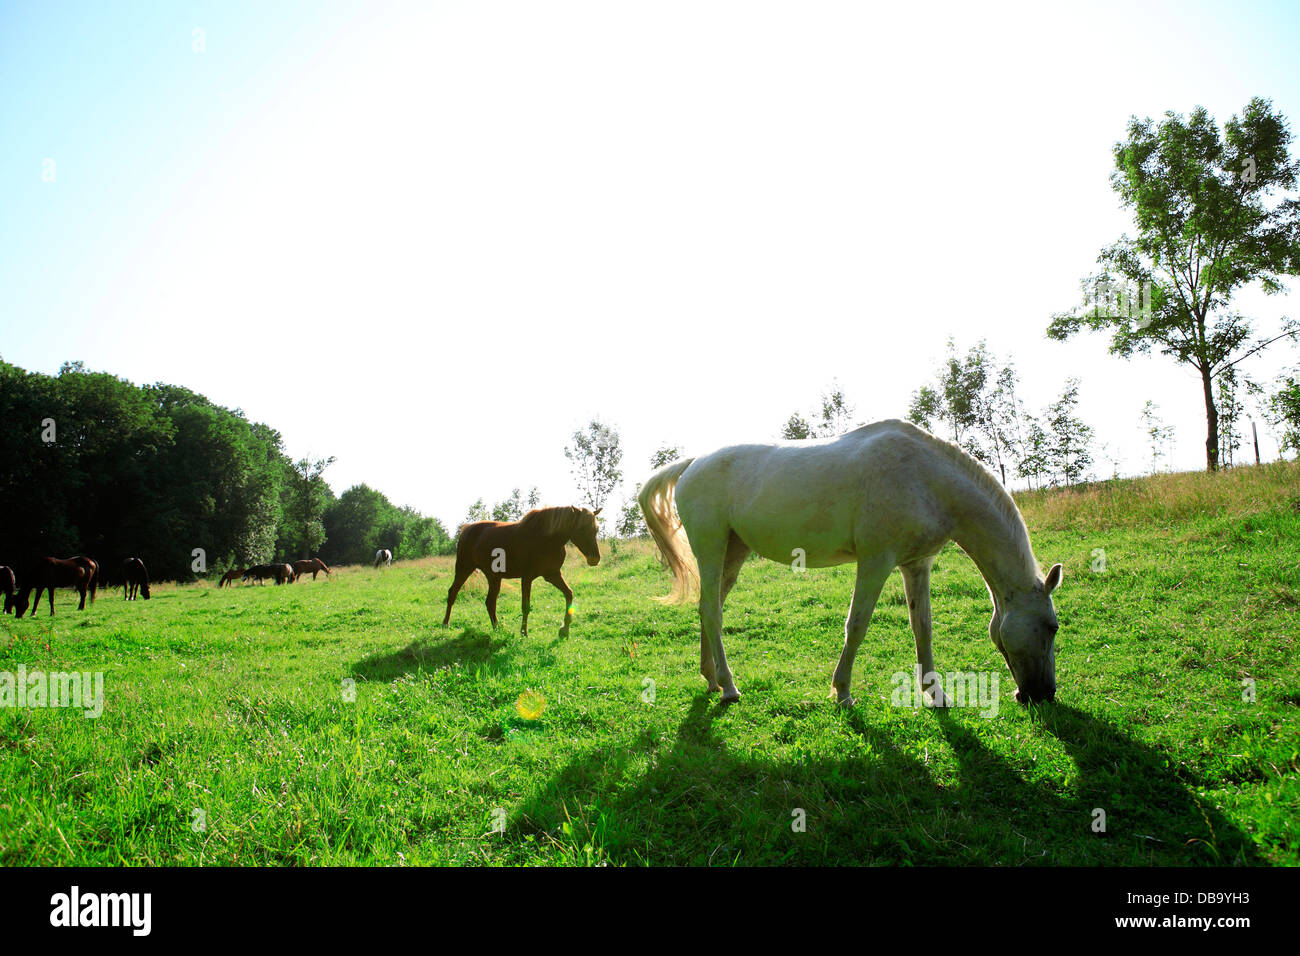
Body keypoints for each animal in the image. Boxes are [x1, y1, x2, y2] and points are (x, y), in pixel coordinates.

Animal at [443, 506, 601, 637]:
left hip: (493, 576)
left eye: (596, 529)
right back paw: (445, 623)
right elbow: (526, 606)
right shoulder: (527, 577)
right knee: (453, 593)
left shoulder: (552, 574)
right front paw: (524, 632)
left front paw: (564, 629)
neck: (547, 539)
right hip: (464, 568)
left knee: (490, 602)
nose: (595, 559)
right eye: (581, 529)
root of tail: (466, 529)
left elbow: (569, 594)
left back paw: (497, 628)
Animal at [639, 420, 1063, 707]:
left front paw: (935, 693)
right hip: (711, 549)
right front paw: (842, 692)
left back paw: (711, 679)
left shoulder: (916, 564)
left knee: (706, 609)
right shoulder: (876, 561)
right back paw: (729, 687)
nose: (1041, 694)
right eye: (1052, 627)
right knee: (712, 613)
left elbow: (922, 628)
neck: (926, 477)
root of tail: (693, 463)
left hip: (733, 552)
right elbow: (856, 626)